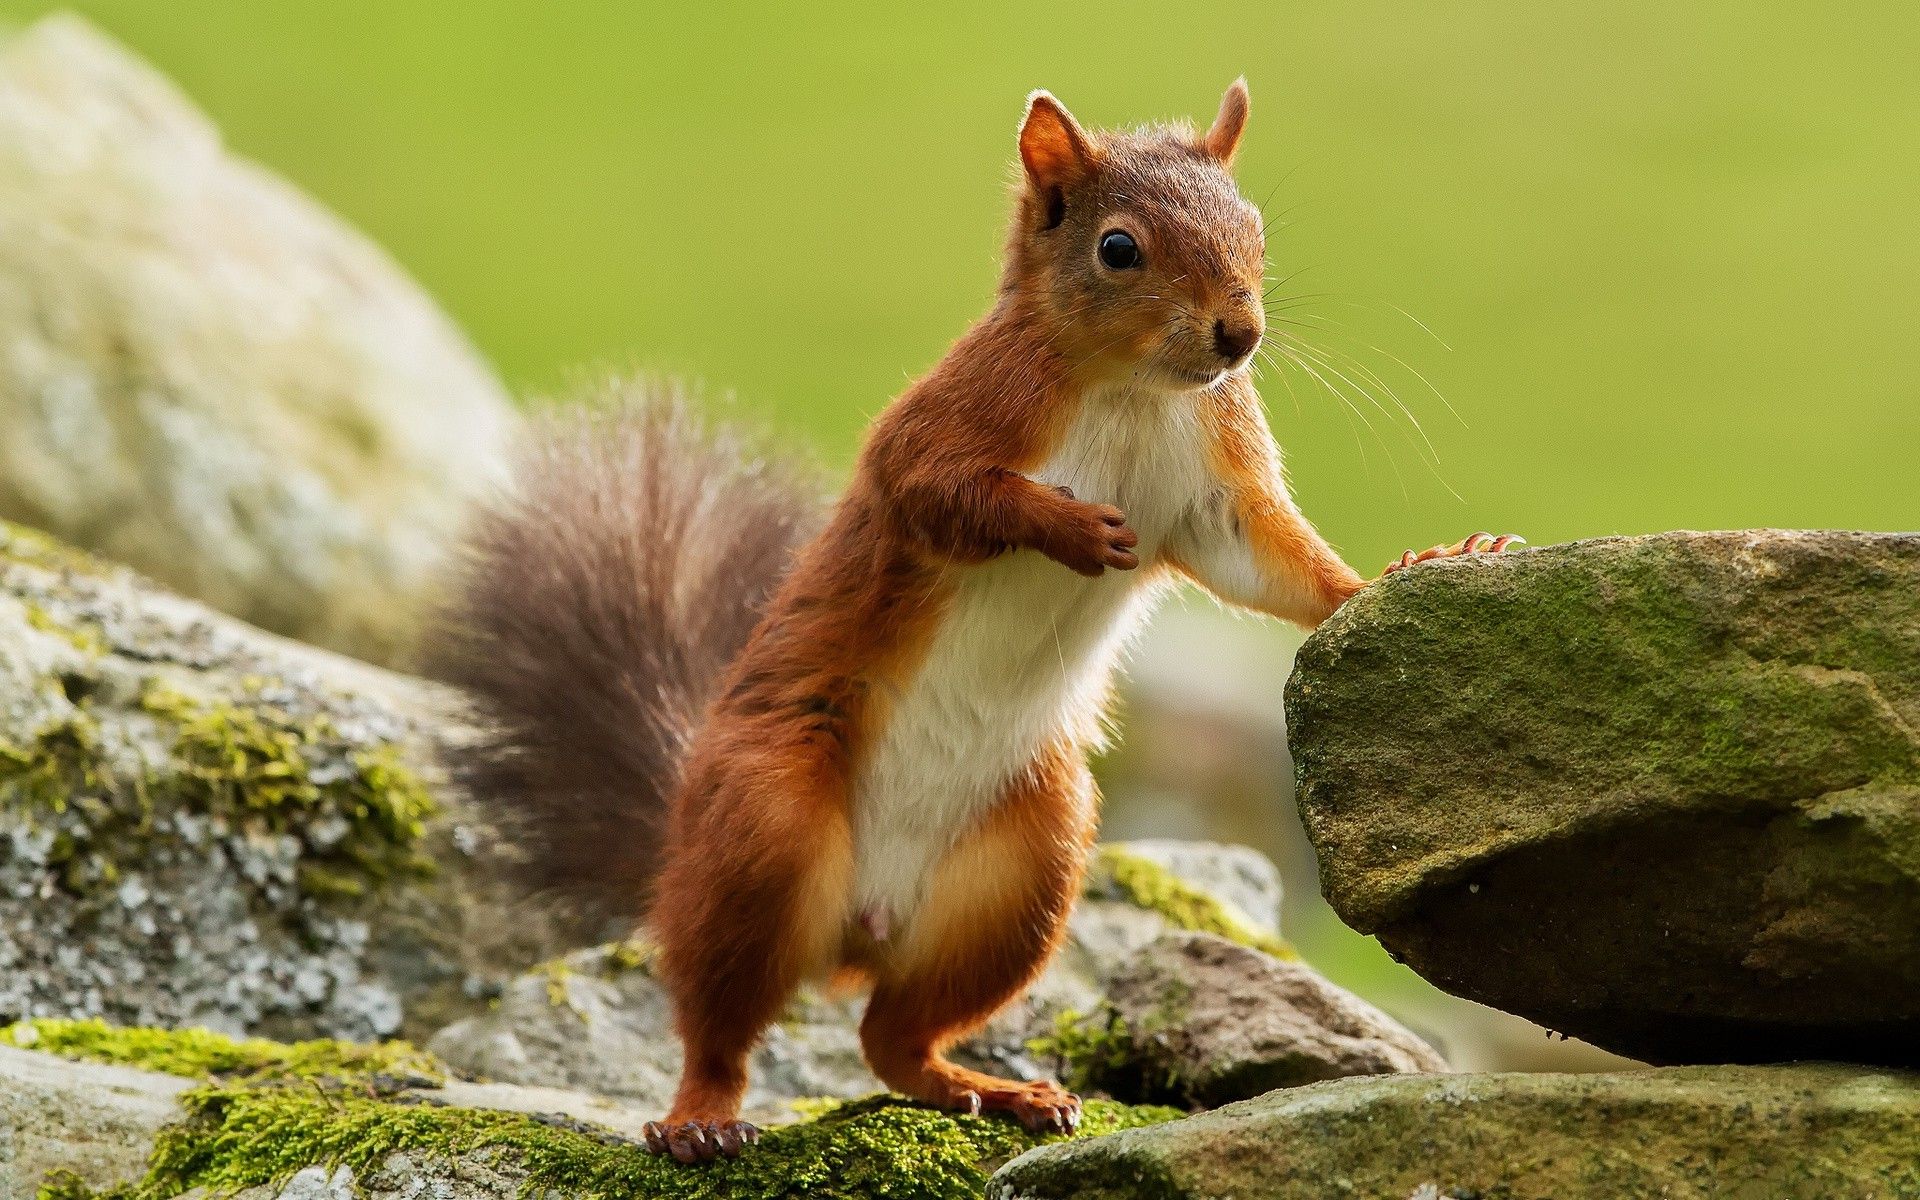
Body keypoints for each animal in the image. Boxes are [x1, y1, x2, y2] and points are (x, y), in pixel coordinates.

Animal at [434, 80, 1516, 1164]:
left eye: (1253, 229)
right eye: (1118, 248)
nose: (1238, 336)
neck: (1131, 389)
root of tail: (857, 927)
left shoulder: (1216, 489)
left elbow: (1275, 569)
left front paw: (1416, 567)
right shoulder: (949, 422)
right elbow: (944, 495)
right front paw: (1068, 526)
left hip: (1025, 872)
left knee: (892, 1039)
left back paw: (993, 1090)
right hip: (763, 825)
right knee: (720, 1020)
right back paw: (701, 1115)